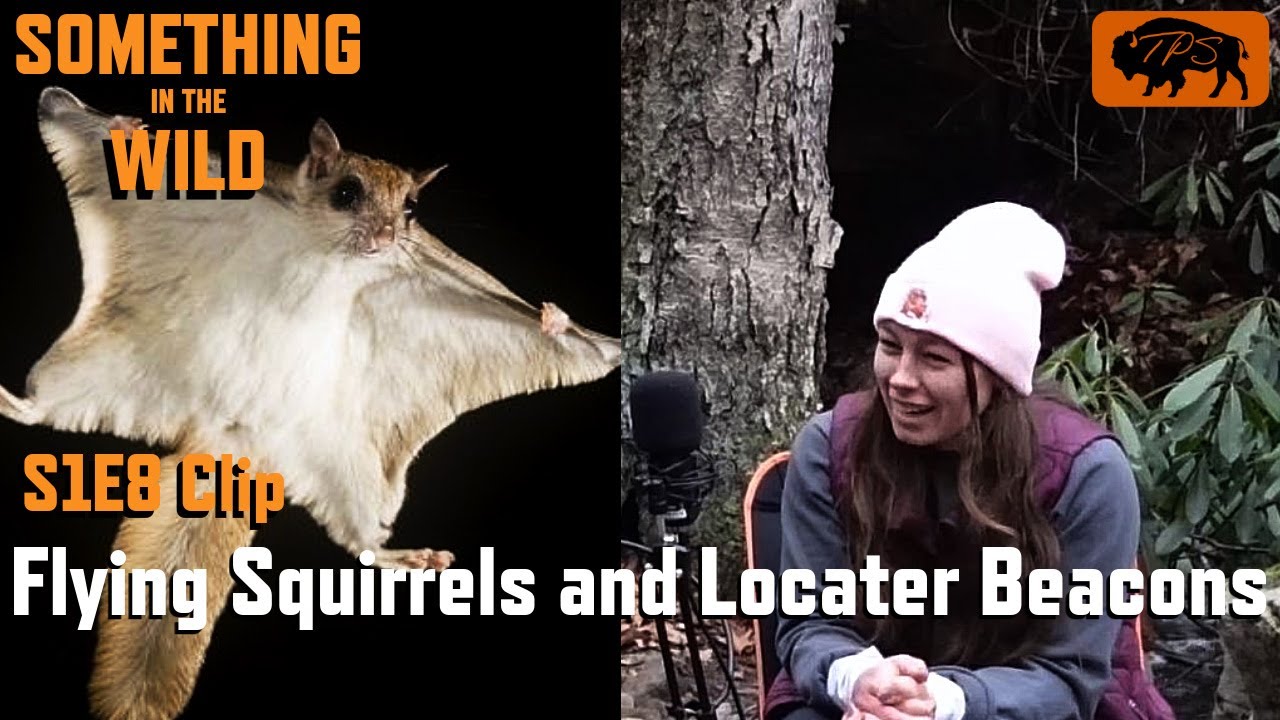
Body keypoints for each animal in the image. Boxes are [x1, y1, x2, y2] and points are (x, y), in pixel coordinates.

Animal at [1, 87, 620, 720]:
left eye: (411, 210)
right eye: (346, 192)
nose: (383, 238)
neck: (326, 256)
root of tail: (229, 444)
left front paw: (555, 322)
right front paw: (125, 126)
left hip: (347, 464)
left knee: (362, 546)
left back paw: (406, 557)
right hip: (105, 364)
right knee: (38, 408)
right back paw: (9, 401)